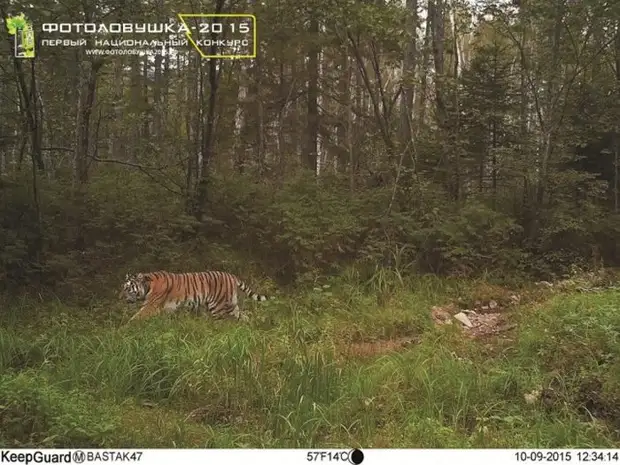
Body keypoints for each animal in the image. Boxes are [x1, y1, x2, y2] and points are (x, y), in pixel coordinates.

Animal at [120, 270, 268, 320]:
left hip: (218, 306)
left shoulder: (150, 306)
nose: (120, 298)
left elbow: (135, 318)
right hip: (230, 305)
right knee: (243, 316)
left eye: (128, 288)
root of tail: (231, 275)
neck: (147, 285)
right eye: (123, 288)